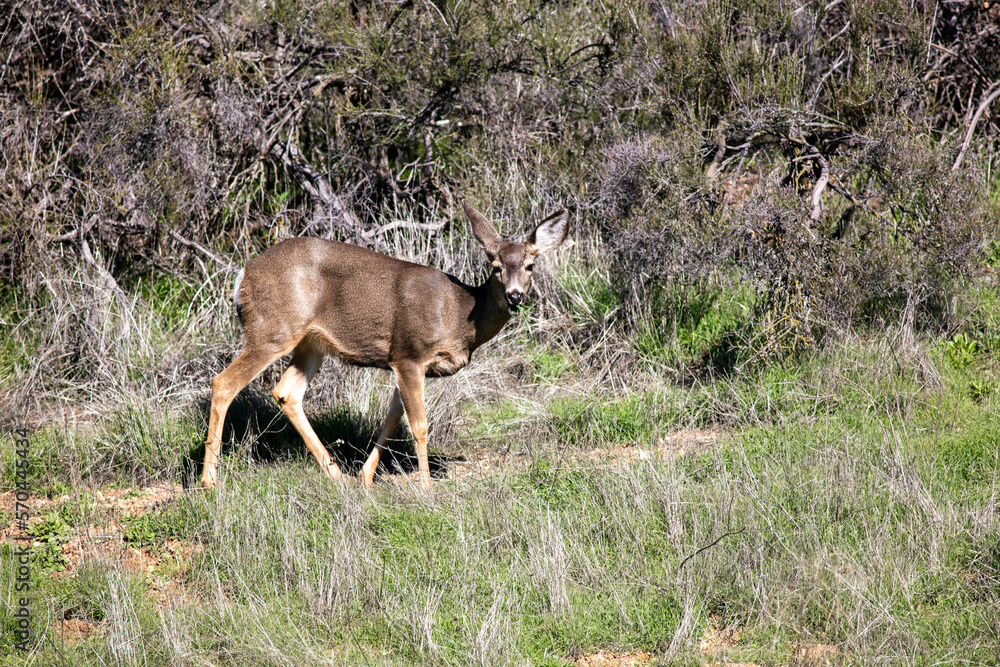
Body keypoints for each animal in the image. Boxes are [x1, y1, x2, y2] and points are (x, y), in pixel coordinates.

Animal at [200, 199, 569, 490]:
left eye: (530, 265)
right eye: (495, 267)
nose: (515, 295)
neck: (460, 315)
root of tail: (244, 275)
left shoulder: (404, 362)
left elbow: (391, 417)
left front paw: (365, 477)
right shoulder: (409, 352)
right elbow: (418, 425)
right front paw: (427, 488)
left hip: (310, 342)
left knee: (286, 392)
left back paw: (337, 475)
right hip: (273, 328)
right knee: (224, 382)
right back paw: (209, 481)